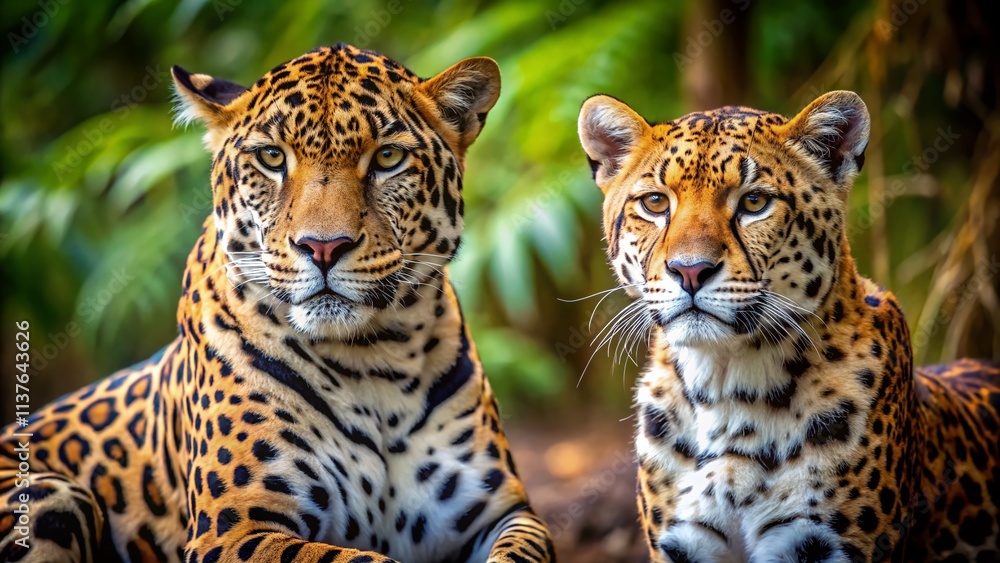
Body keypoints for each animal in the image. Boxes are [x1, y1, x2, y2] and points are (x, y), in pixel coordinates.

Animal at [0, 43, 555, 563]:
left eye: (387, 158)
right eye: (271, 159)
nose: (323, 247)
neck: (375, 360)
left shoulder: (500, 512)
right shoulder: (235, 529)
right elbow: (361, 561)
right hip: (50, 495)